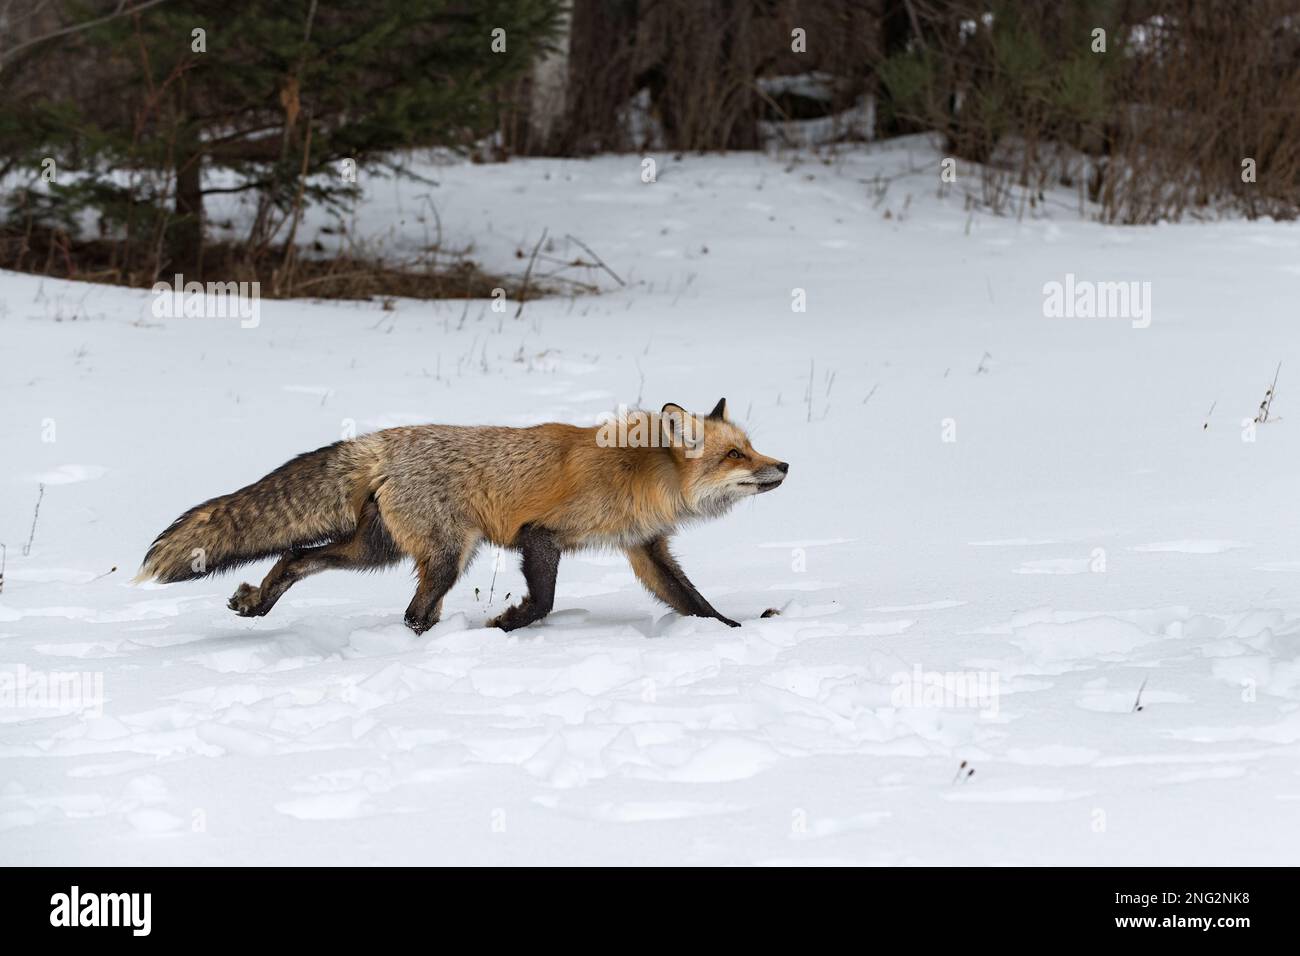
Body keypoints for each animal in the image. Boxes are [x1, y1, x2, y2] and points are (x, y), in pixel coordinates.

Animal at [136, 399, 788, 633]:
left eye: (751, 447)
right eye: (736, 455)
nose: (783, 465)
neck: (639, 473)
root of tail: (383, 440)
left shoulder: (645, 547)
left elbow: (693, 602)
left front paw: (731, 633)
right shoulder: (541, 534)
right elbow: (544, 601)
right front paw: (508, 624)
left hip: (376, 552)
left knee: (295, 556)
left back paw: (257, 601)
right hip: (446, 556)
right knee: (412, 612)